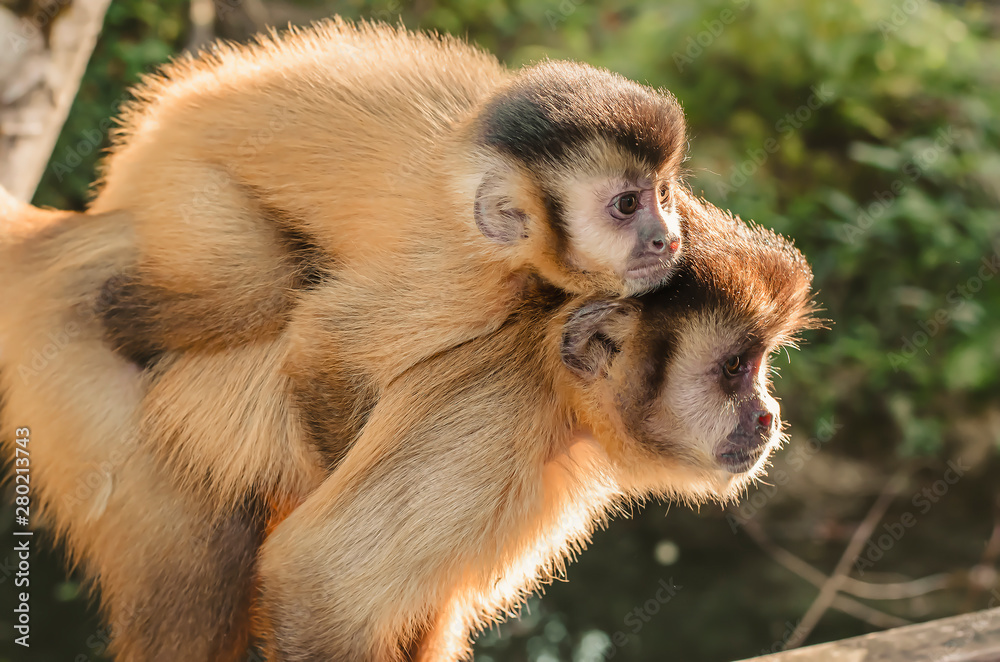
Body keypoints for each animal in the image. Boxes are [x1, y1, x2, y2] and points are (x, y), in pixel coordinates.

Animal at [254, 195, 818, 661]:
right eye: (733, 367)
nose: (768, 414)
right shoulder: (488, 424)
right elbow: (316, 588)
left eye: (758, 364)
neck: (555, 395)